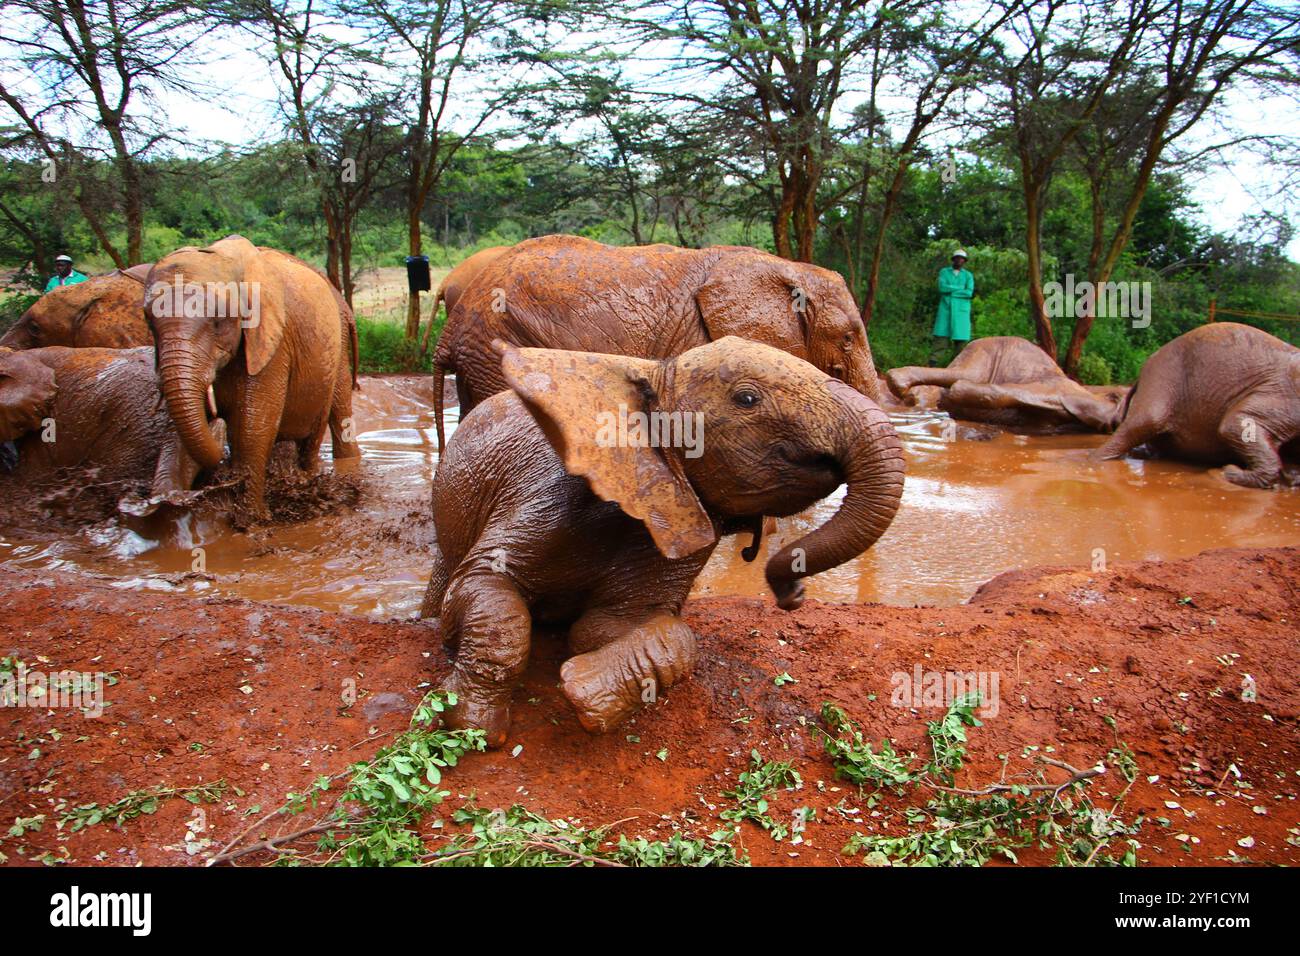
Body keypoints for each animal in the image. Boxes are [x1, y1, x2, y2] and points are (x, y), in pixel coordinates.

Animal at [146, 235, 361, 518]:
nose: (217, 420)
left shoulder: (271, 342)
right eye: (149, 322)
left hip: (333, 352)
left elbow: (253, 425)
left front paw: (252, 519)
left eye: (218, 321)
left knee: (322, 424)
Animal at [420, 336, 905, 746]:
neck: (654, 374)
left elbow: (629, 627)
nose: (792, 594)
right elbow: (486, 590)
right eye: (747, 399)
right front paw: (474, 729)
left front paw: (582, 692)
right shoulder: (544, 489)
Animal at [886, 336, 1125, 433]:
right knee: (965, 373)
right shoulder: (1064, 390)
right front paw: (953, 398)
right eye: (1116, 397)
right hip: (981, 349)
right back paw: (900, 386)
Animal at [1096, 322, 1300, 488]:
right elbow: (1234, 423)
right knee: (1146, 421)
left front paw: (1292, 478)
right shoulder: (1282, 395)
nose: (1229, 468)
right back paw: (1093, 458)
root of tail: (1142, 372)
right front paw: (1226, 471)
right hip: (1161, 381)